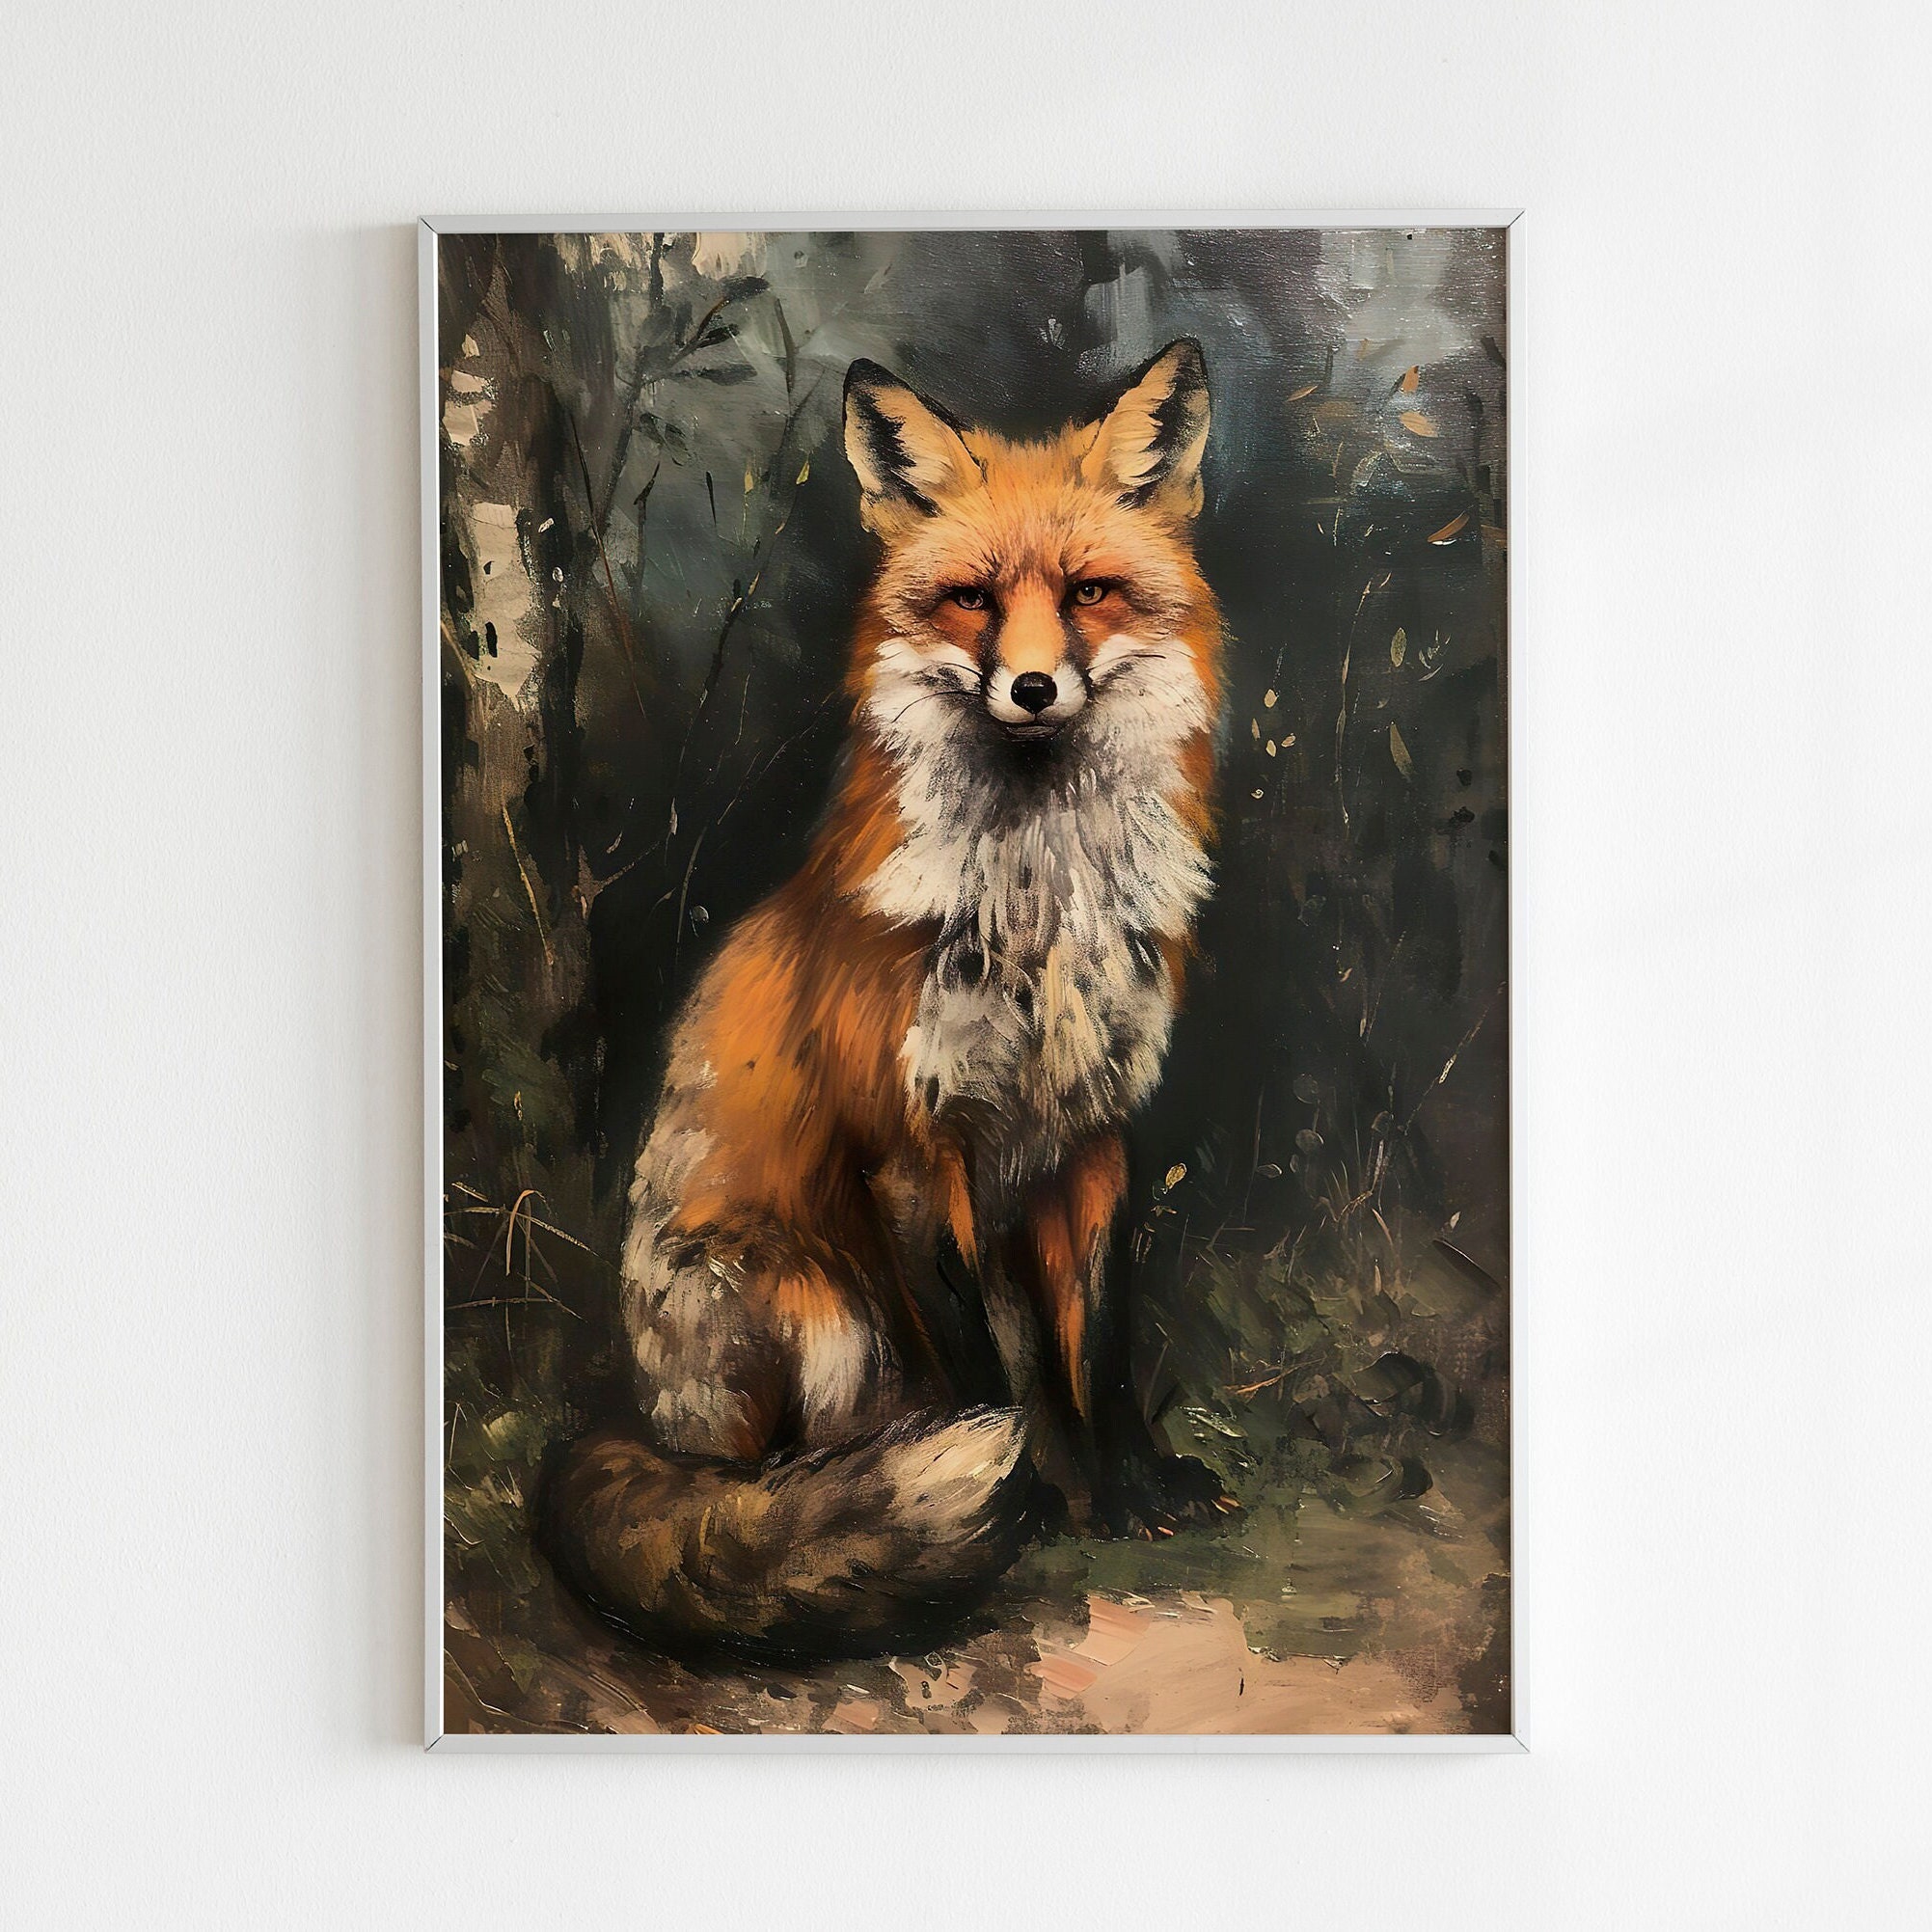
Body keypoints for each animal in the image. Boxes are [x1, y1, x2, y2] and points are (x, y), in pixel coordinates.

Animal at [543, 339, 1234, 1660]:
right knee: (765, 1477)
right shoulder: (911, 1141)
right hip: (806, 1295)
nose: (1031, 687)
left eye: (1087, 592)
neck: (1034, 906)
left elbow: (1100, 1345)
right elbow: (975, 1373)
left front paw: (1126, 1486)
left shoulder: (1093, 1132)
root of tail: (631, 1416)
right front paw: (1026, 1505)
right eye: (971, 598)